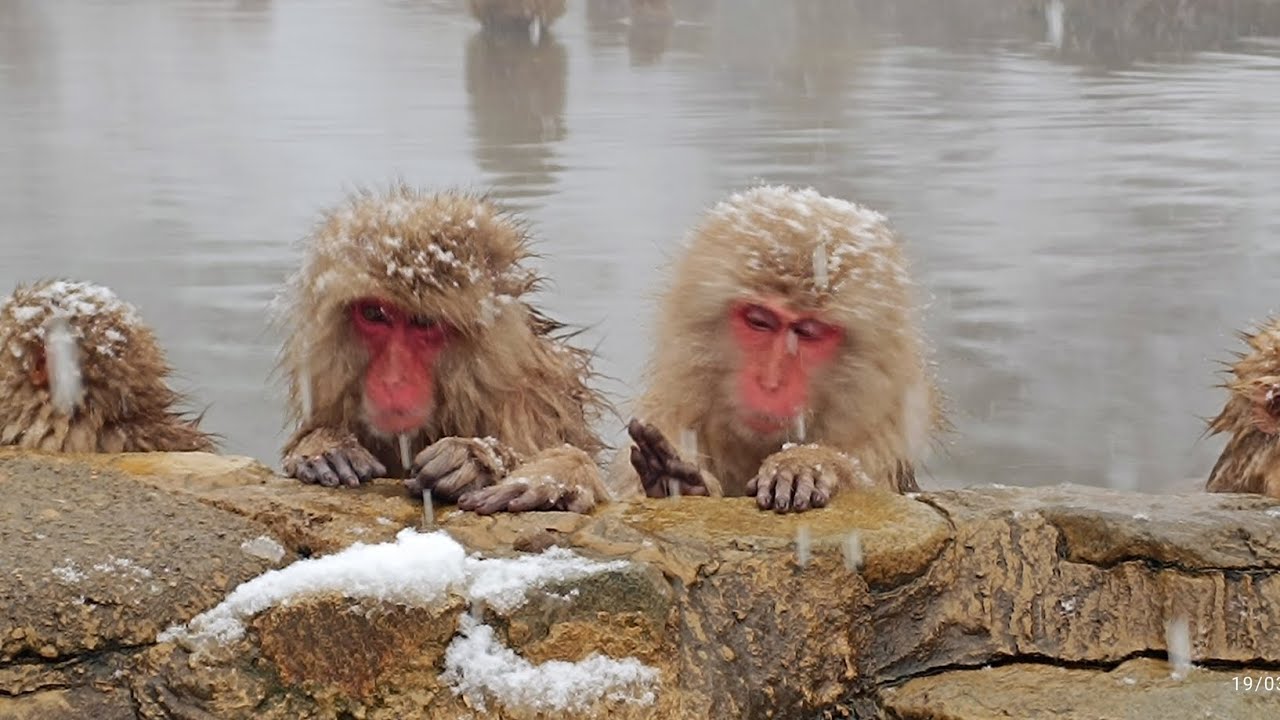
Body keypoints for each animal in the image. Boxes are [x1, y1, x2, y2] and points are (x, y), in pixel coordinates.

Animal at [274, 183, 613, 514]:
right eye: (373, 314)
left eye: (424, 322)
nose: (393, 380)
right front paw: (325, 446)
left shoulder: (534, 404)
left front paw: (480, 459)